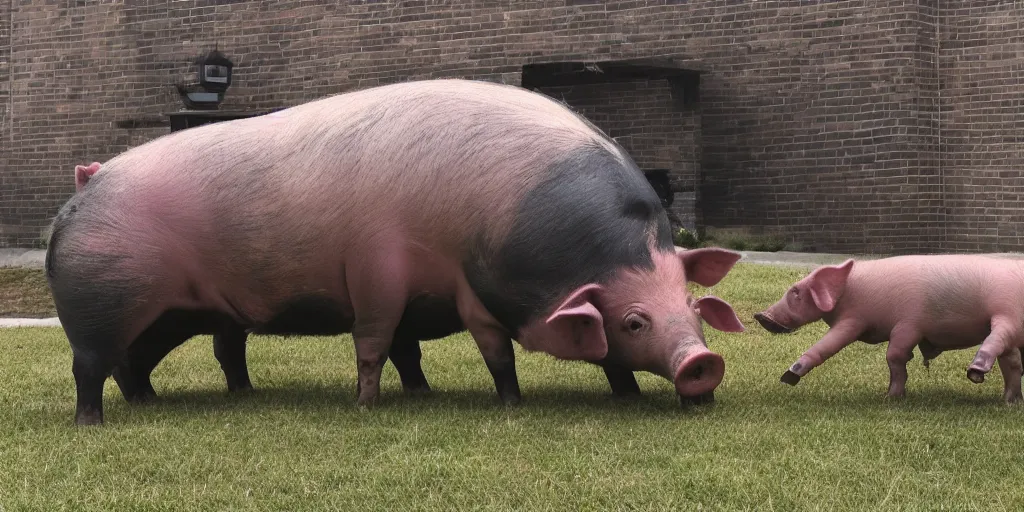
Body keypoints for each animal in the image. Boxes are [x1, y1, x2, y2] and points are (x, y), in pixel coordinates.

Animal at [45, 78, 745, 426]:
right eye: (635, 320)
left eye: (690, 303)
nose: (703, 364)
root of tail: (88, 183)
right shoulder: (384, 271)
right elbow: (410, 344)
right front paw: (495, 406)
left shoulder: (429, 292)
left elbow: (411, 349)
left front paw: (425, 394)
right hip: (98, 305)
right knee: (90, 367)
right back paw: (93, 424)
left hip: (175, 315)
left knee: (154, 360)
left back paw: (167, 403)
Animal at [753, 256, 1024, 403]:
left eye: (795, 292)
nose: (761, 316)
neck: (850, 290)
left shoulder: (904, 323)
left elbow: (892, 355)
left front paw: (891, 398)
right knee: (1011, 362)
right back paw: (1010, 401)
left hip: (1006, 313)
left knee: (998, 345)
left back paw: (976, 373)